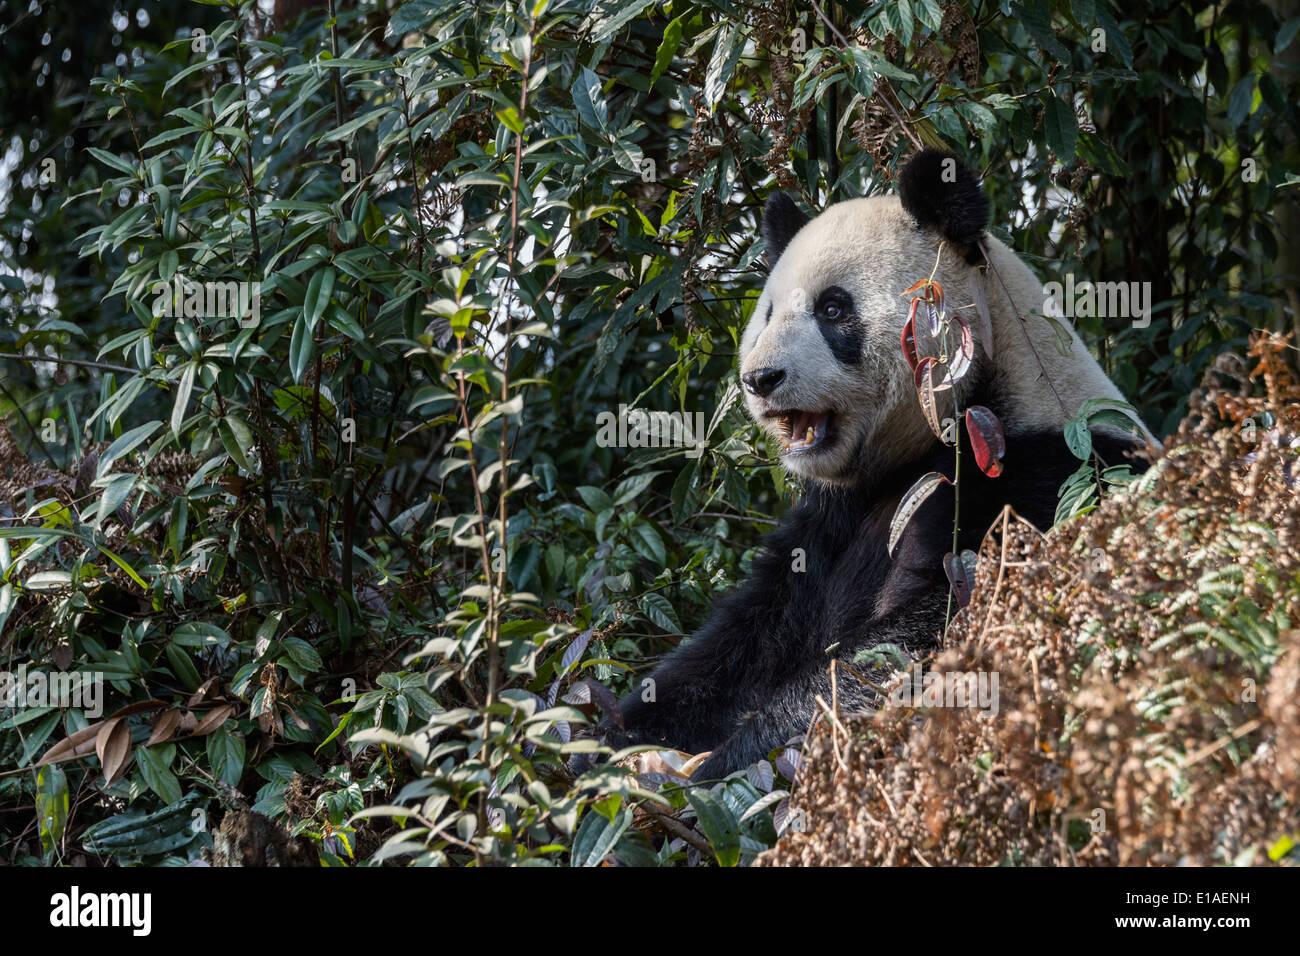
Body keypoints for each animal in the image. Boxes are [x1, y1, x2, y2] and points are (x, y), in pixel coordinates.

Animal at [602, 149, 1151, 781]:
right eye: (768, 314)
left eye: (833, 308)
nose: (761, 379)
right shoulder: (828, 523)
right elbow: (744, 644)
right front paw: (607, 736)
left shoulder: (1052, 472)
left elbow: (935, 636)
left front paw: (734, 753)